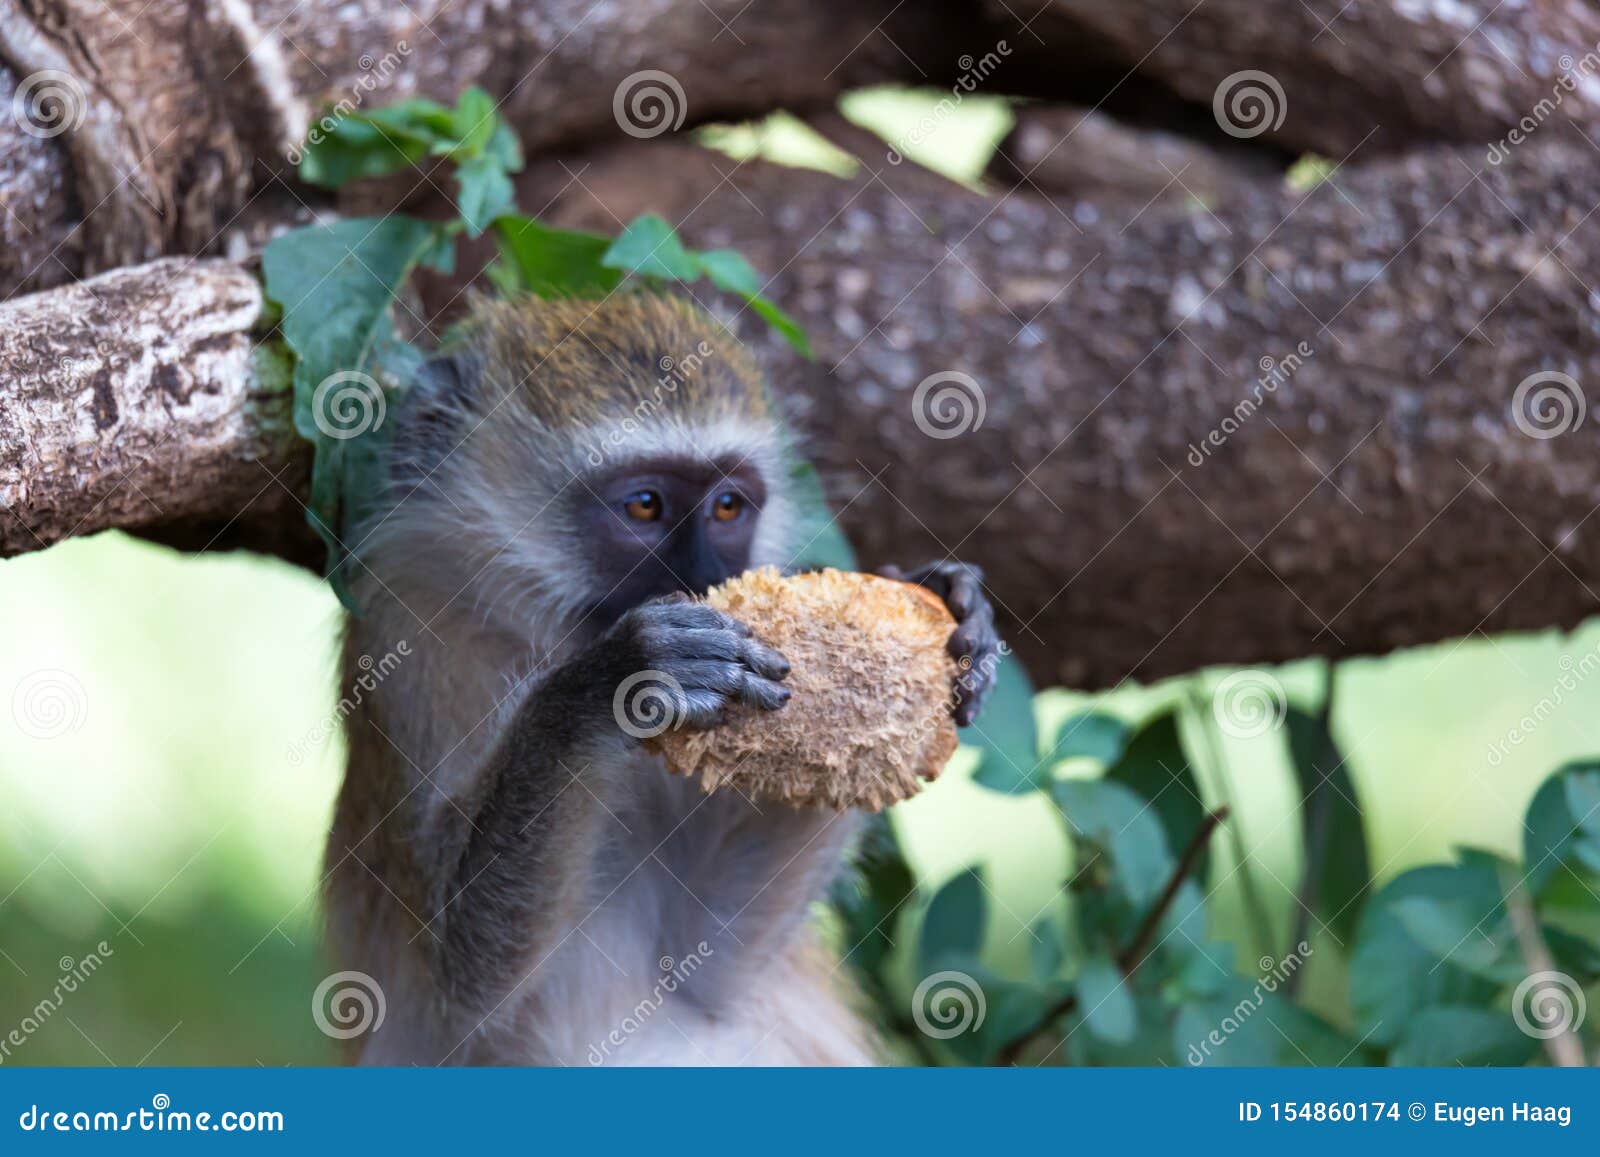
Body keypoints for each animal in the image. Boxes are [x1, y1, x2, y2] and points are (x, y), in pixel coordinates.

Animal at [323, 292, 1002, 1065]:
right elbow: (458, 980)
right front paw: (611, 681)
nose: (707, 581)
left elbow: (708, 964)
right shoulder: (408, 625)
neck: (532, 635)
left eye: (728, 507)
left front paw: (949, 604)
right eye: (645, 505)